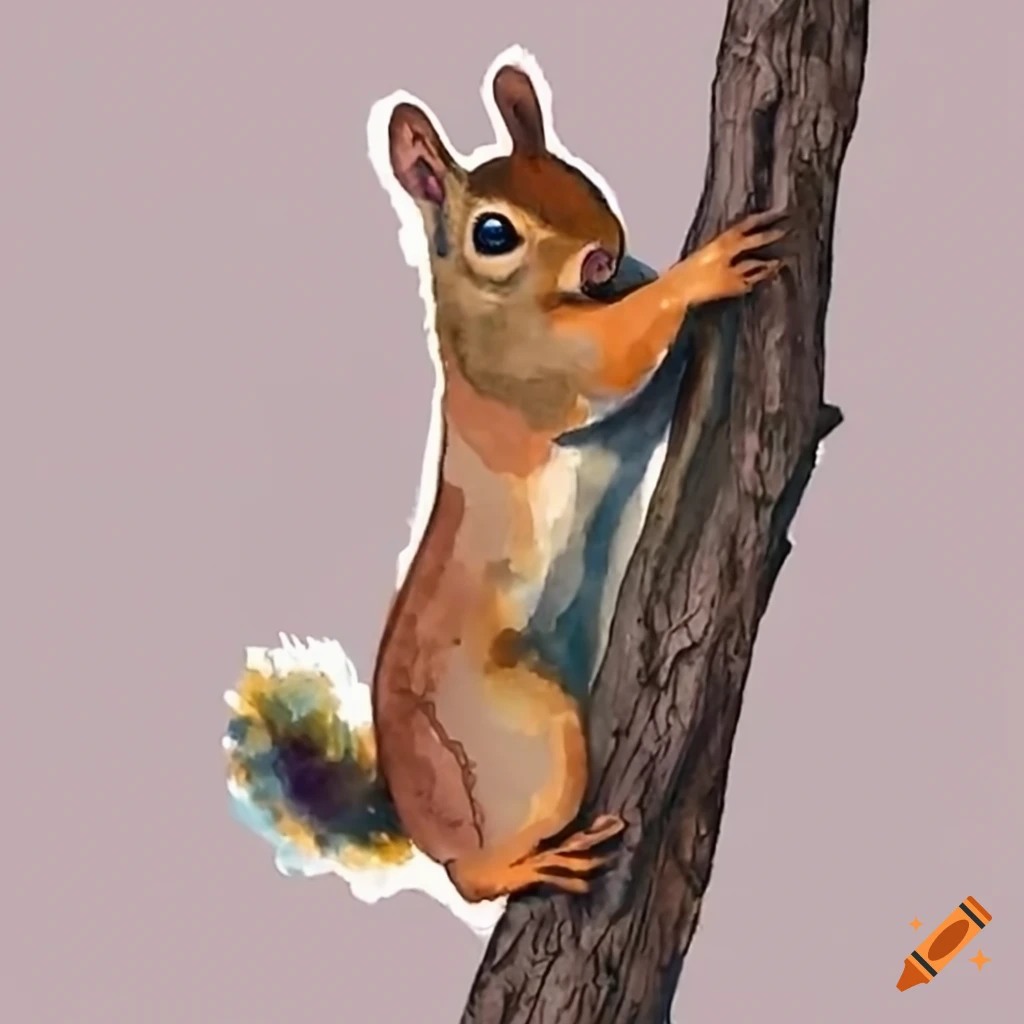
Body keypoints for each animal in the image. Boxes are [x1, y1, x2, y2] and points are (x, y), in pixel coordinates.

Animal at [223, 50, 785, 911]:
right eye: (493, 232)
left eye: (578, 176)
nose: (602, 257)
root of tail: (418, 814)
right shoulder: (534, 371)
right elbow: (615, 352)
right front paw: (708, 268)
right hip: (527, 743)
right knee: (471, 880)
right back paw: (531, 864)